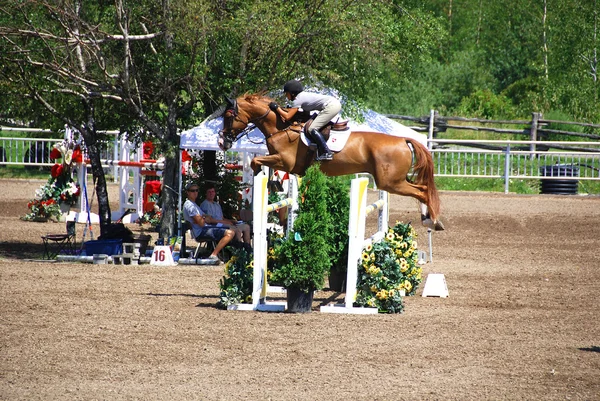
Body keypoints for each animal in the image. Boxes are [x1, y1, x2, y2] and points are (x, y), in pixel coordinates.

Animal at [220, 91, 446, 228]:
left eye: (229, 116)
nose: (223, 142)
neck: (281, 128)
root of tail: (402, 139)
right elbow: (259, 163)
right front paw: (271, 183)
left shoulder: (285, 161)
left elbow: (256, 162)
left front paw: (268, 182)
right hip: (396, 180)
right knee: (422, 189)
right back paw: (428, 219)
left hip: (390, 182)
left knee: (422, 191)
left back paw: (433, 221)